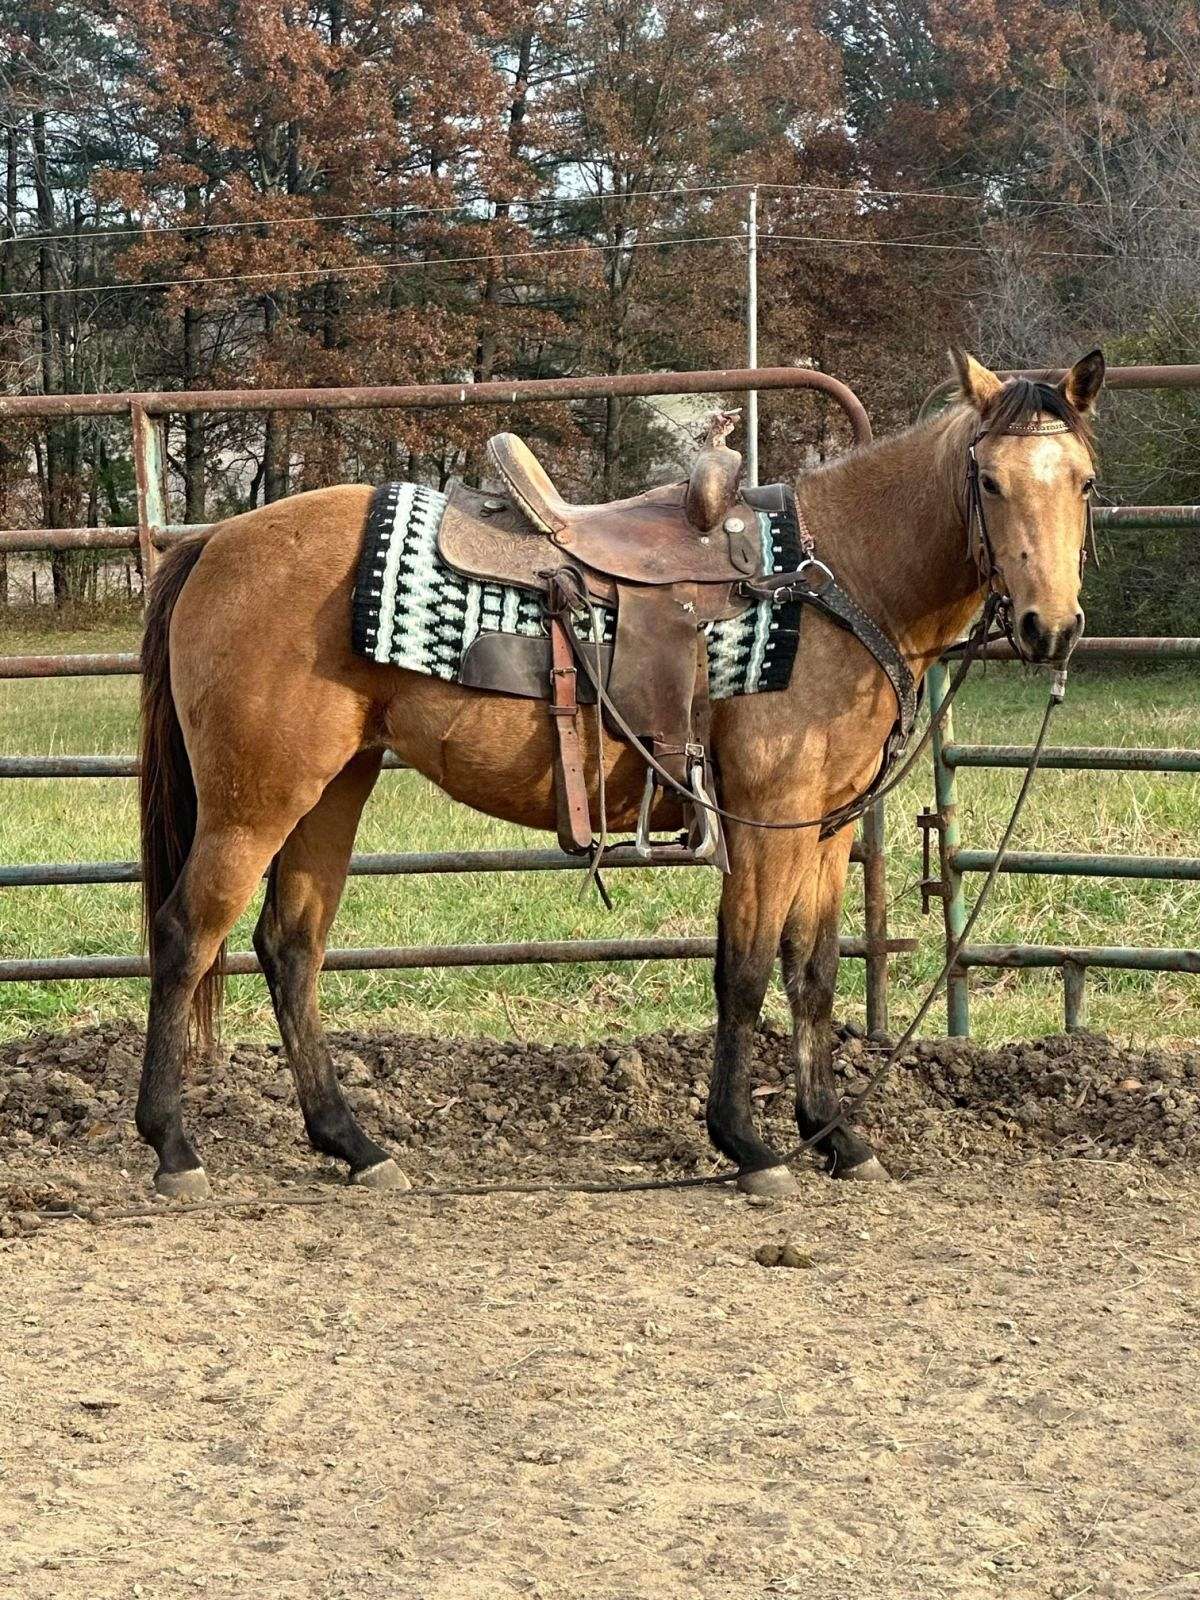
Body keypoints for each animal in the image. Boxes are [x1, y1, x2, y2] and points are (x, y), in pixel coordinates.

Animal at [135, 348, 1104, 1199]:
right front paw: (748, 1145)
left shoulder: (824, 829)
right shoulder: (767, 818)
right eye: (990, 482)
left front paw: (836, 1135)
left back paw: (354, 1145)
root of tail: (216, 541)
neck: (833, 582)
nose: (1050, 627)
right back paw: (174, 1148)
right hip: (253, 802)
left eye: (1085, 481)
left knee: (291, 947)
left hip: (332, 789)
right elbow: (745, 971)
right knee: (187, 935)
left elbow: (813, 973)